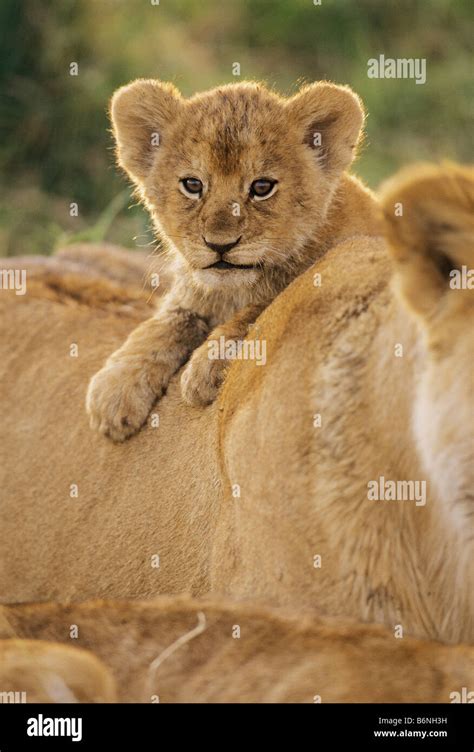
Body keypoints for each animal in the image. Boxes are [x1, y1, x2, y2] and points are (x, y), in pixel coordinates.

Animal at [86, 79, 381, 441]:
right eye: (193, 184)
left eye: (262, 187)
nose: (220, 244)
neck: (234, 290)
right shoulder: (189, 298)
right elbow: (160, 326)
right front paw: (113, 392)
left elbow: (258, 310)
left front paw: (205, 369)